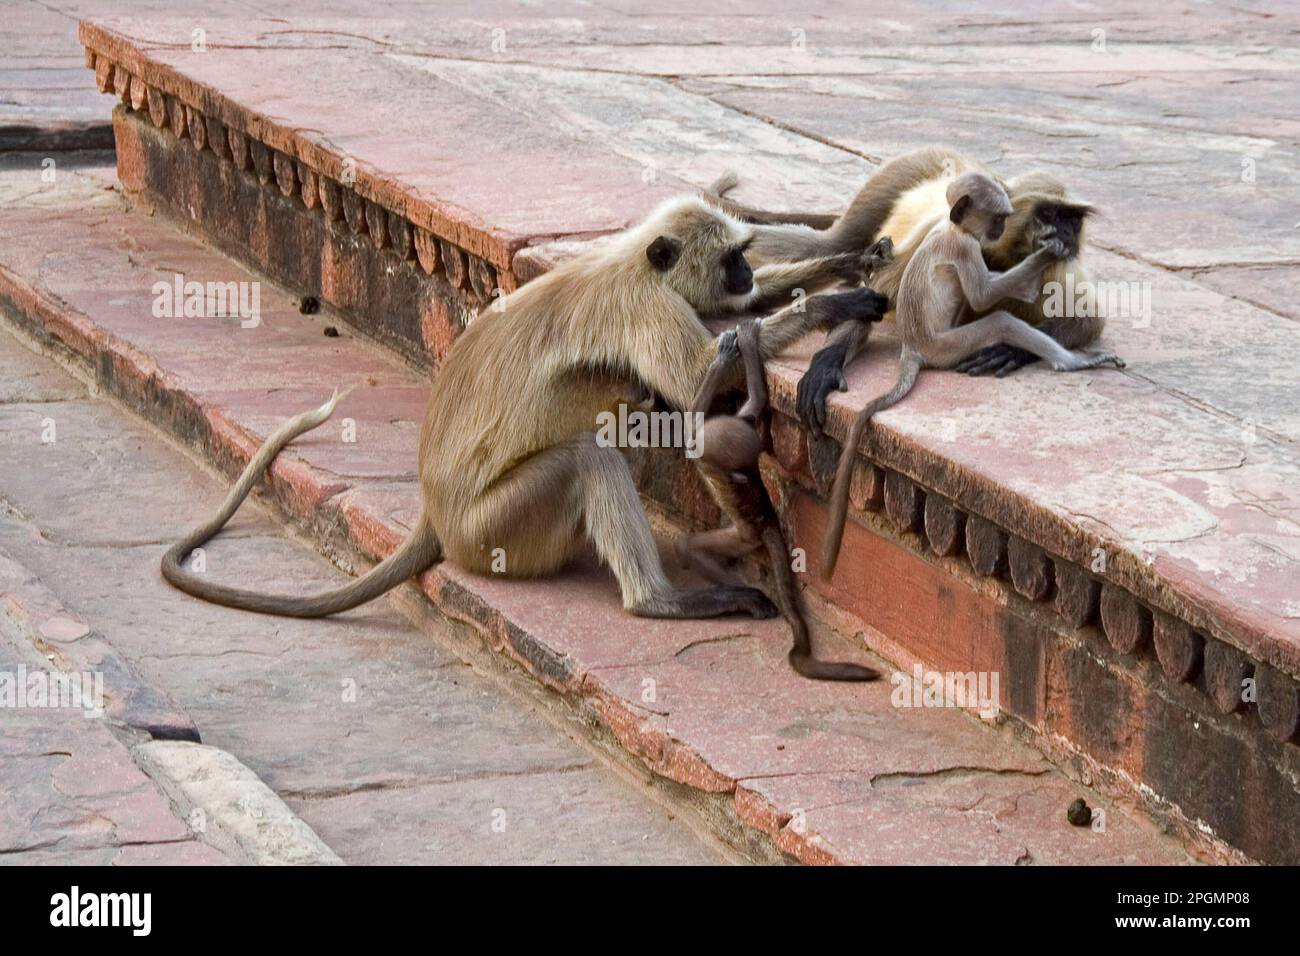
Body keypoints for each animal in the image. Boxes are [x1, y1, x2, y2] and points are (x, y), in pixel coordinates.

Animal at [162, 195, 889, 636]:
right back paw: (660, 602)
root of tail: (437, 516)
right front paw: (834, 304)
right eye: (733, 257)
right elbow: (693, 381)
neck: (629, 259)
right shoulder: (643, 303)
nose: (742, 274)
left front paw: (851, 261)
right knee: (593, 450)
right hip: (499, 529)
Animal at [676, 318, 881, 681]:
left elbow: (693, 418)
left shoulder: (707, 448)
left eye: (710, 445)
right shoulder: (741, 423)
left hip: (743, 536)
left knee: (692, 547)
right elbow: (757, 400)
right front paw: (742, 344)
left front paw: (724, 360)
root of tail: (769, 520)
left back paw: (742, 595)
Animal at [701, 147, 1102, 432]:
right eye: (1049, 215)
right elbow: (876, 295)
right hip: (903, 170)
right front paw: (827, 362)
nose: (1067, 234)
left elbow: (1087, 323)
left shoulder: (1059, 269)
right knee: (831, 244)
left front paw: (1008, 351)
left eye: (1072, 219)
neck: (1004, 252)